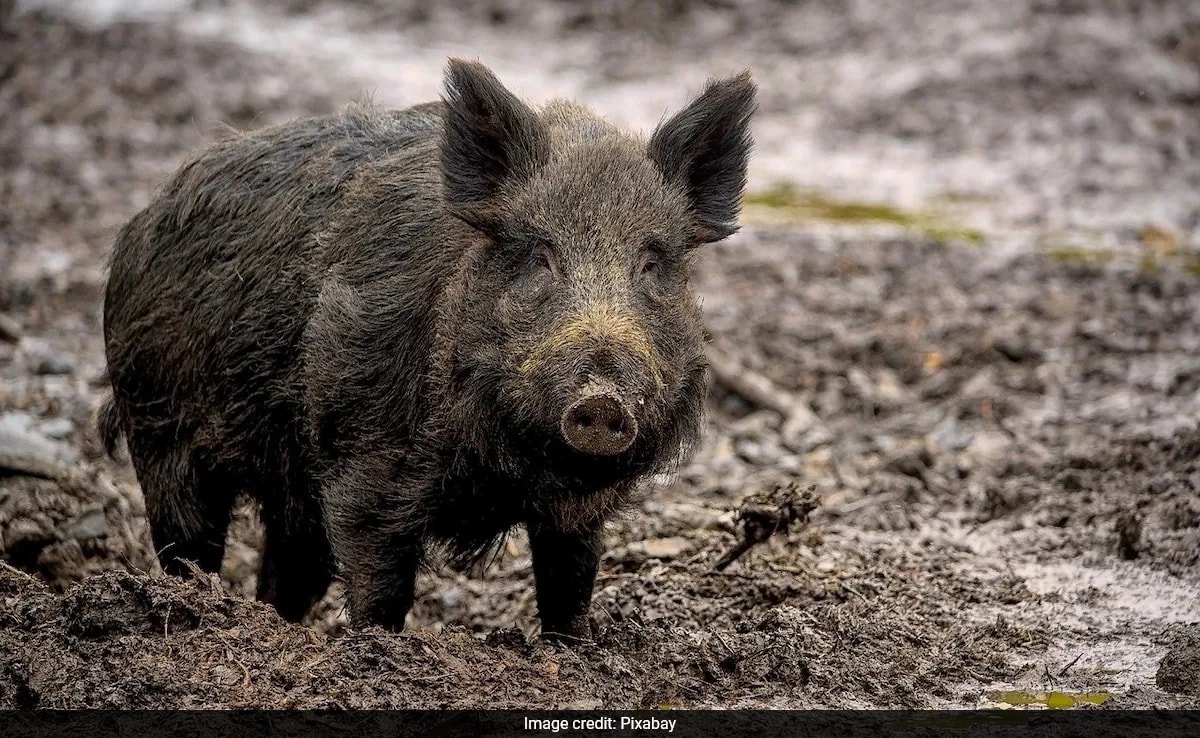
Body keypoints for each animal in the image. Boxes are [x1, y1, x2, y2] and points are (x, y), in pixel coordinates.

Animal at [99, 59, 756, 639]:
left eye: (651, 262)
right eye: (539, 257)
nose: (602, 399)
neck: (502, 468)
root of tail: (141, 220)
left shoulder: (579, 511)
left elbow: (569, 583)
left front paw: (574, 648)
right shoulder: (366, 455)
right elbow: (380, 578)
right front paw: (376, 648)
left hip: (287, 482)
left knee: (288, 567)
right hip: (159, 423)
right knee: (187, 541)